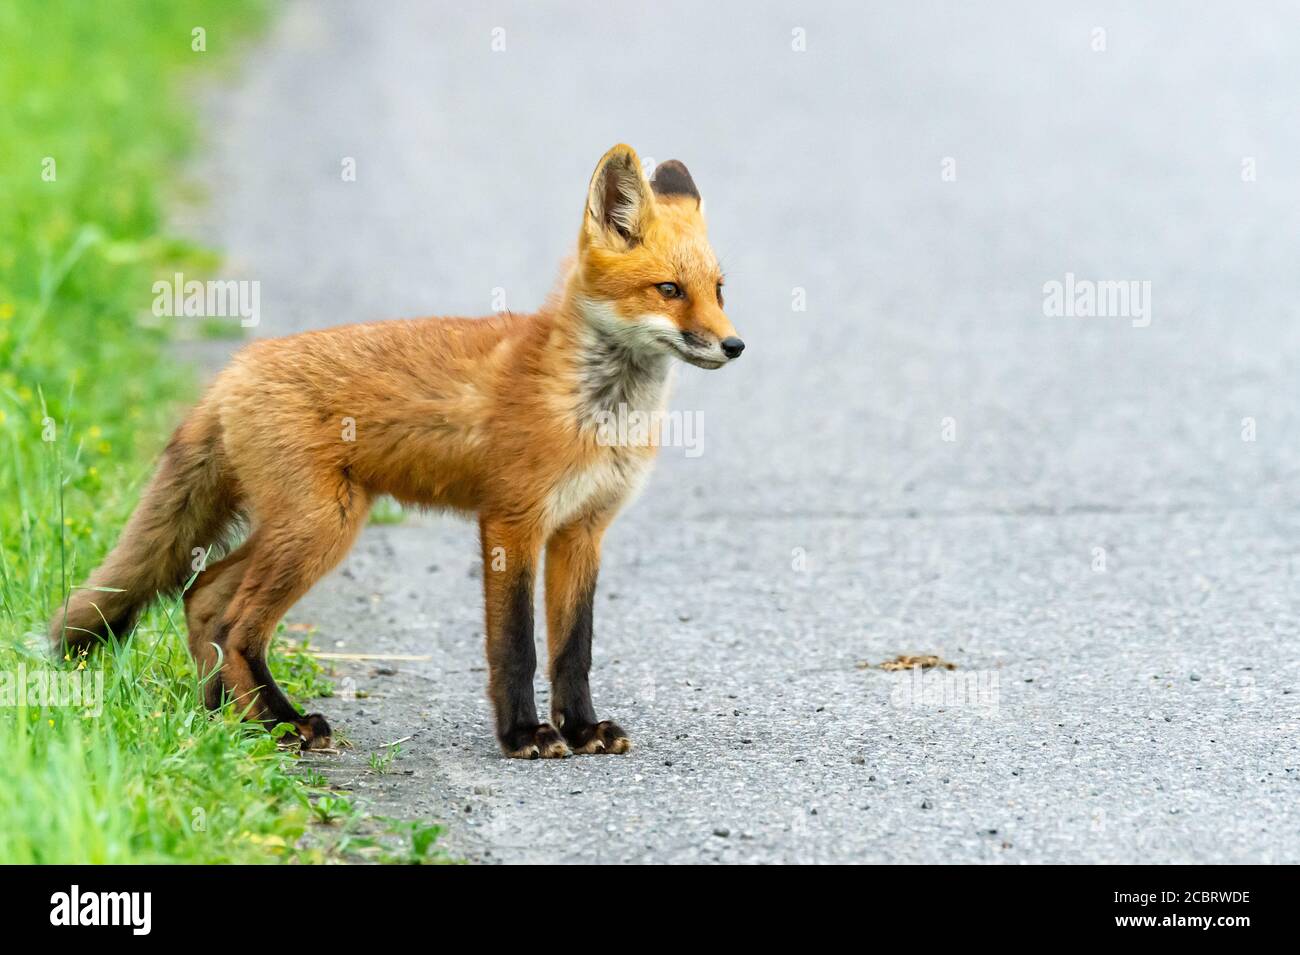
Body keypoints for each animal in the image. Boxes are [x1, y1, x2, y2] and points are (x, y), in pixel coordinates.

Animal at [50, 144, 744, 758]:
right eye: (669, 290)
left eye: (718, 290)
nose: (735, 346)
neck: (599, 411)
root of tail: (235, 368)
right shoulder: (512, 522)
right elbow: (516, 646)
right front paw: (524, 735)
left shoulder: (583, 529)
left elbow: (575, 648)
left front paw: (582, 730)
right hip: (321, 526)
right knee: (235, 621)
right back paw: (285, 722)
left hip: (303, 524)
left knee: (202, 597)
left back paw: (228, 720)